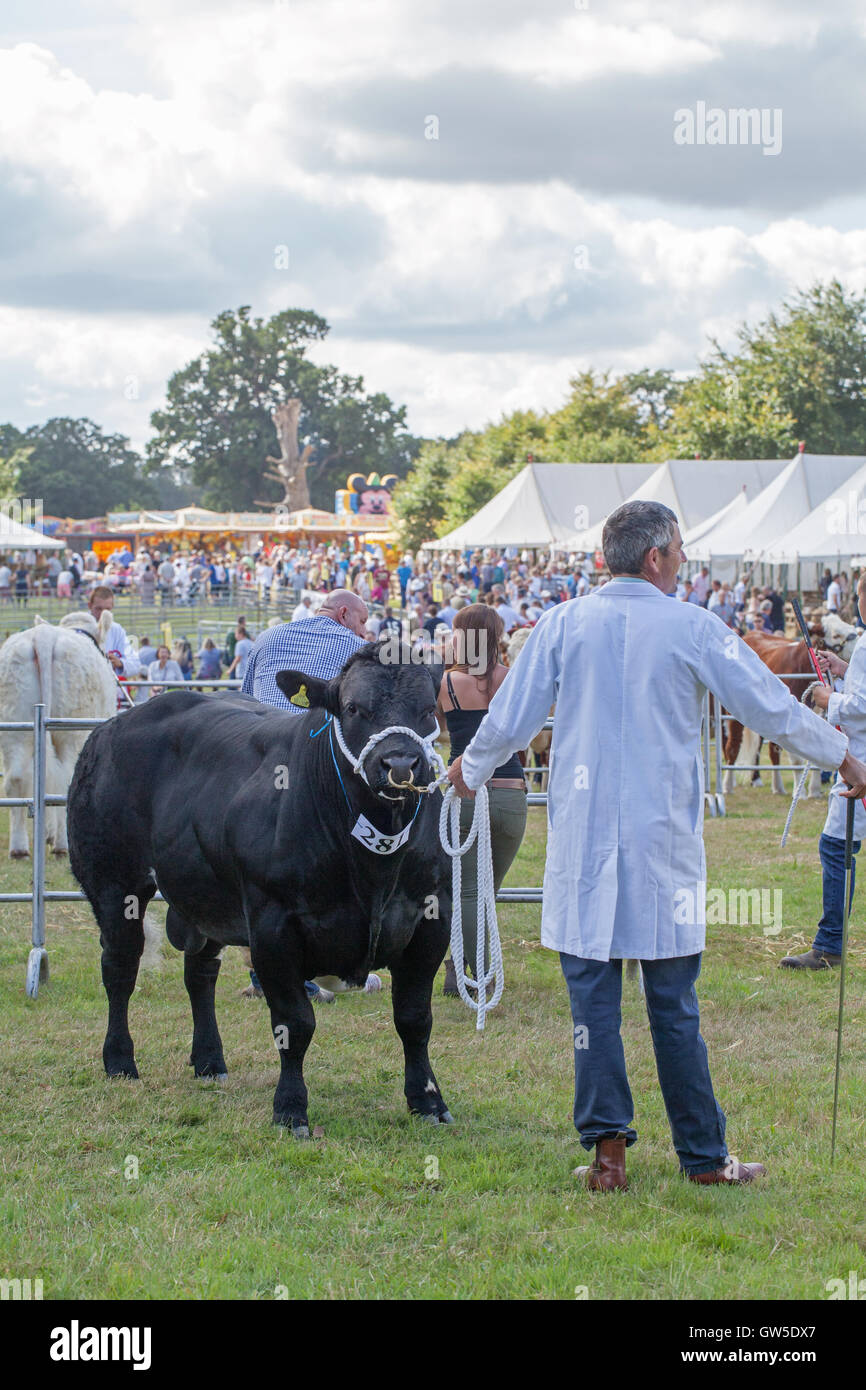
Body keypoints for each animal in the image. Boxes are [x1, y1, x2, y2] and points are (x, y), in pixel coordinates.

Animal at [0, 611, 117, 857]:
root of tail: (44, 636)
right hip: (72, 729)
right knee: (66, 779)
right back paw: (63, 845)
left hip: (14, 723)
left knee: (16, 777)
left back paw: (19, 848)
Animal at [67, 642, 453, 1136]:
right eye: (353, 708)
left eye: (428, 709)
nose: (401, 764)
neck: (373, 866)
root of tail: (111, 726)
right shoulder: (273, 924)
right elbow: (295, 1024)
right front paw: (290, 1109)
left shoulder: (431, 917)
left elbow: (415, 1019)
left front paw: (428, 1100)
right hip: (113, 885)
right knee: (119, 969)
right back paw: (120, 1061)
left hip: (207, 896)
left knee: (200, 975)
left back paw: (209, 1061)